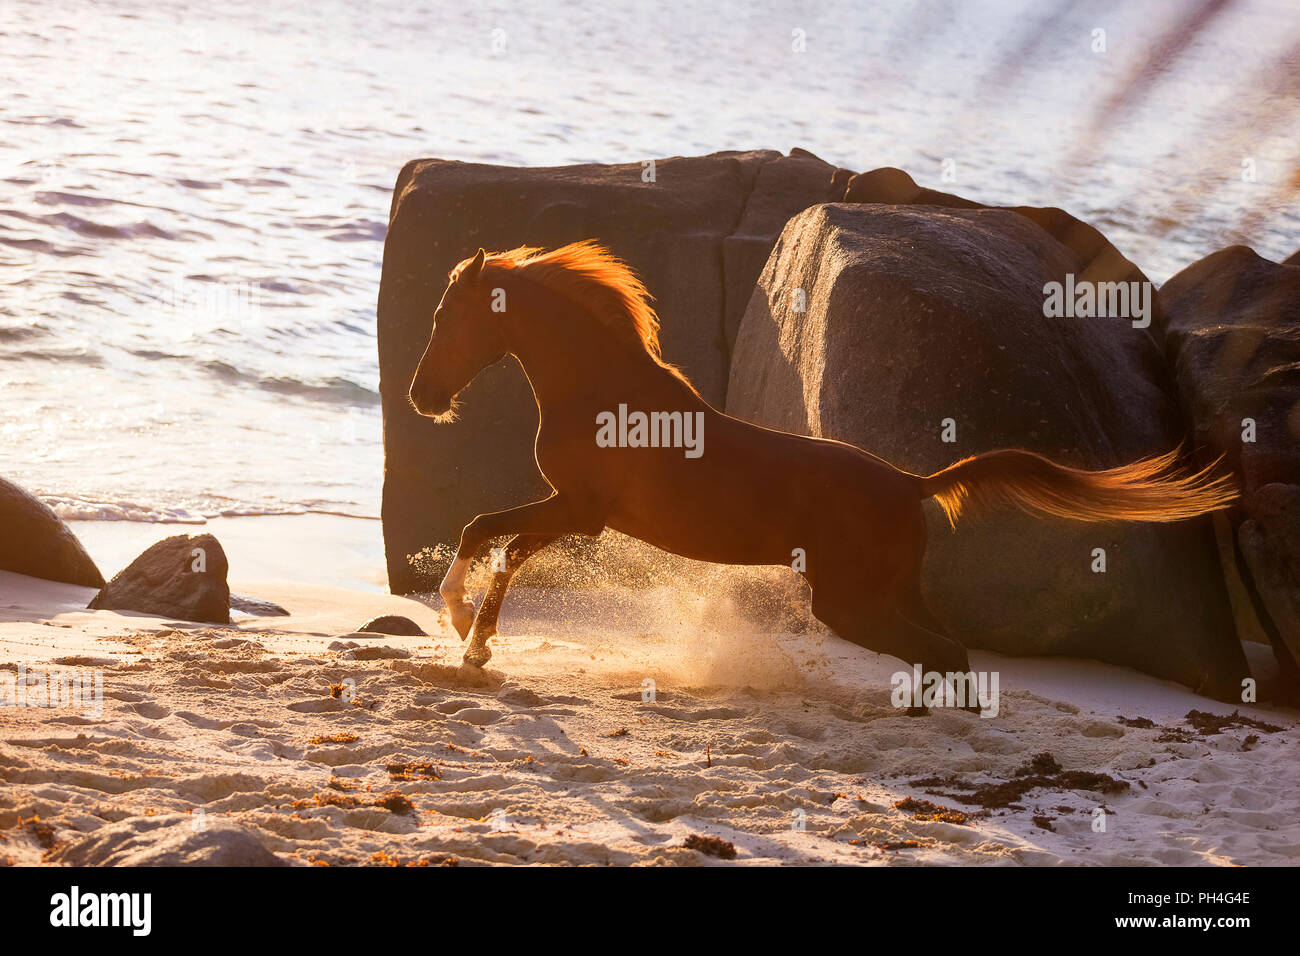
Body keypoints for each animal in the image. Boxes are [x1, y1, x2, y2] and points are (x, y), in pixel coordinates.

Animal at [407, 240, 1236, 692]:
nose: (420, 396)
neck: (602, 391)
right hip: (887, 593)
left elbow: (492, 536)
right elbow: (496, 539)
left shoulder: (582, 511)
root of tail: (911, 485)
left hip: (848, 602)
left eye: (447, 317)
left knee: (940, 652)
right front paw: (469, 639)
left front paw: (465, 630)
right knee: (950, 652)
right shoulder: (572, 509)